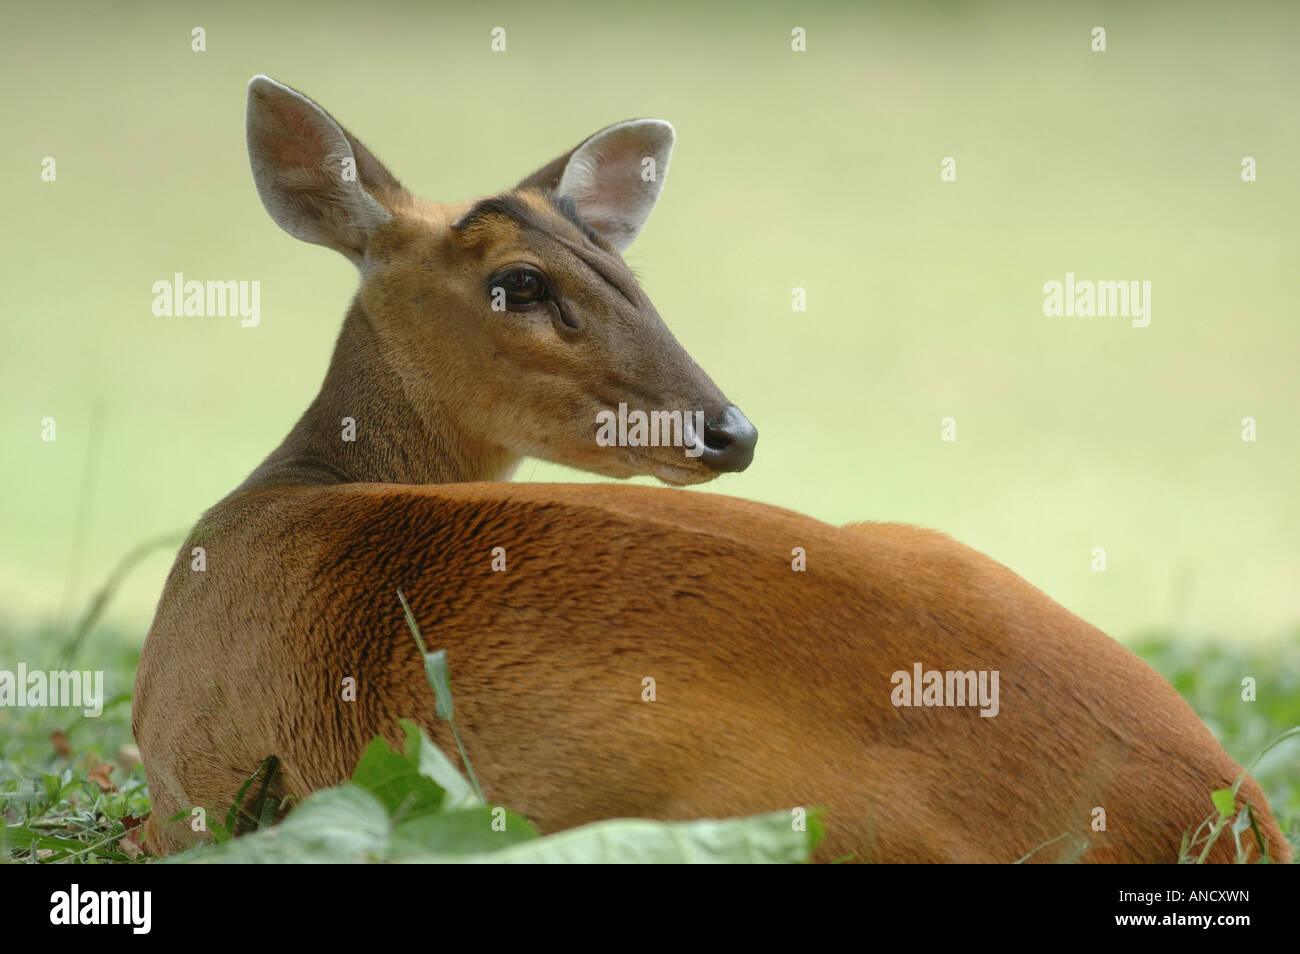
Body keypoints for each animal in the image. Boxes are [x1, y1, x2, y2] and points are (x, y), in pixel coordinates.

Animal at [131, 75, 1291, 864]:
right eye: (521, 282)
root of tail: (1226, 814)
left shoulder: (193, 784)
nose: (730, 431)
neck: (292, 489)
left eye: (624, 268)